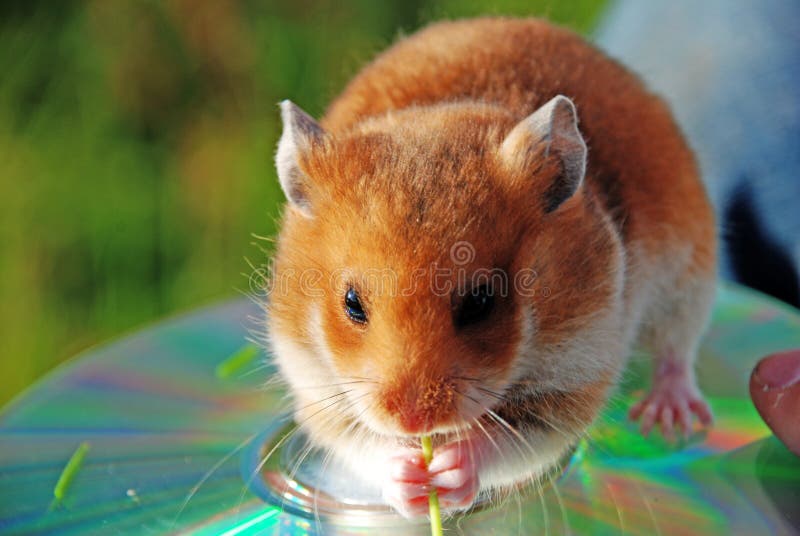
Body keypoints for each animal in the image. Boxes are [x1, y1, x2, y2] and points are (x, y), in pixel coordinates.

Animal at [266, 17, 716, 517]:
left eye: (481, 301)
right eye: (352, 304)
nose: (414, 421)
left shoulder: (575, 376)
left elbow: (506, 443)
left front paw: (449, 469)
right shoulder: (317, 389)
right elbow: (366, 445)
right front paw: (410, 479)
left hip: (690, 269)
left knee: (677, 350)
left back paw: (668, 422)